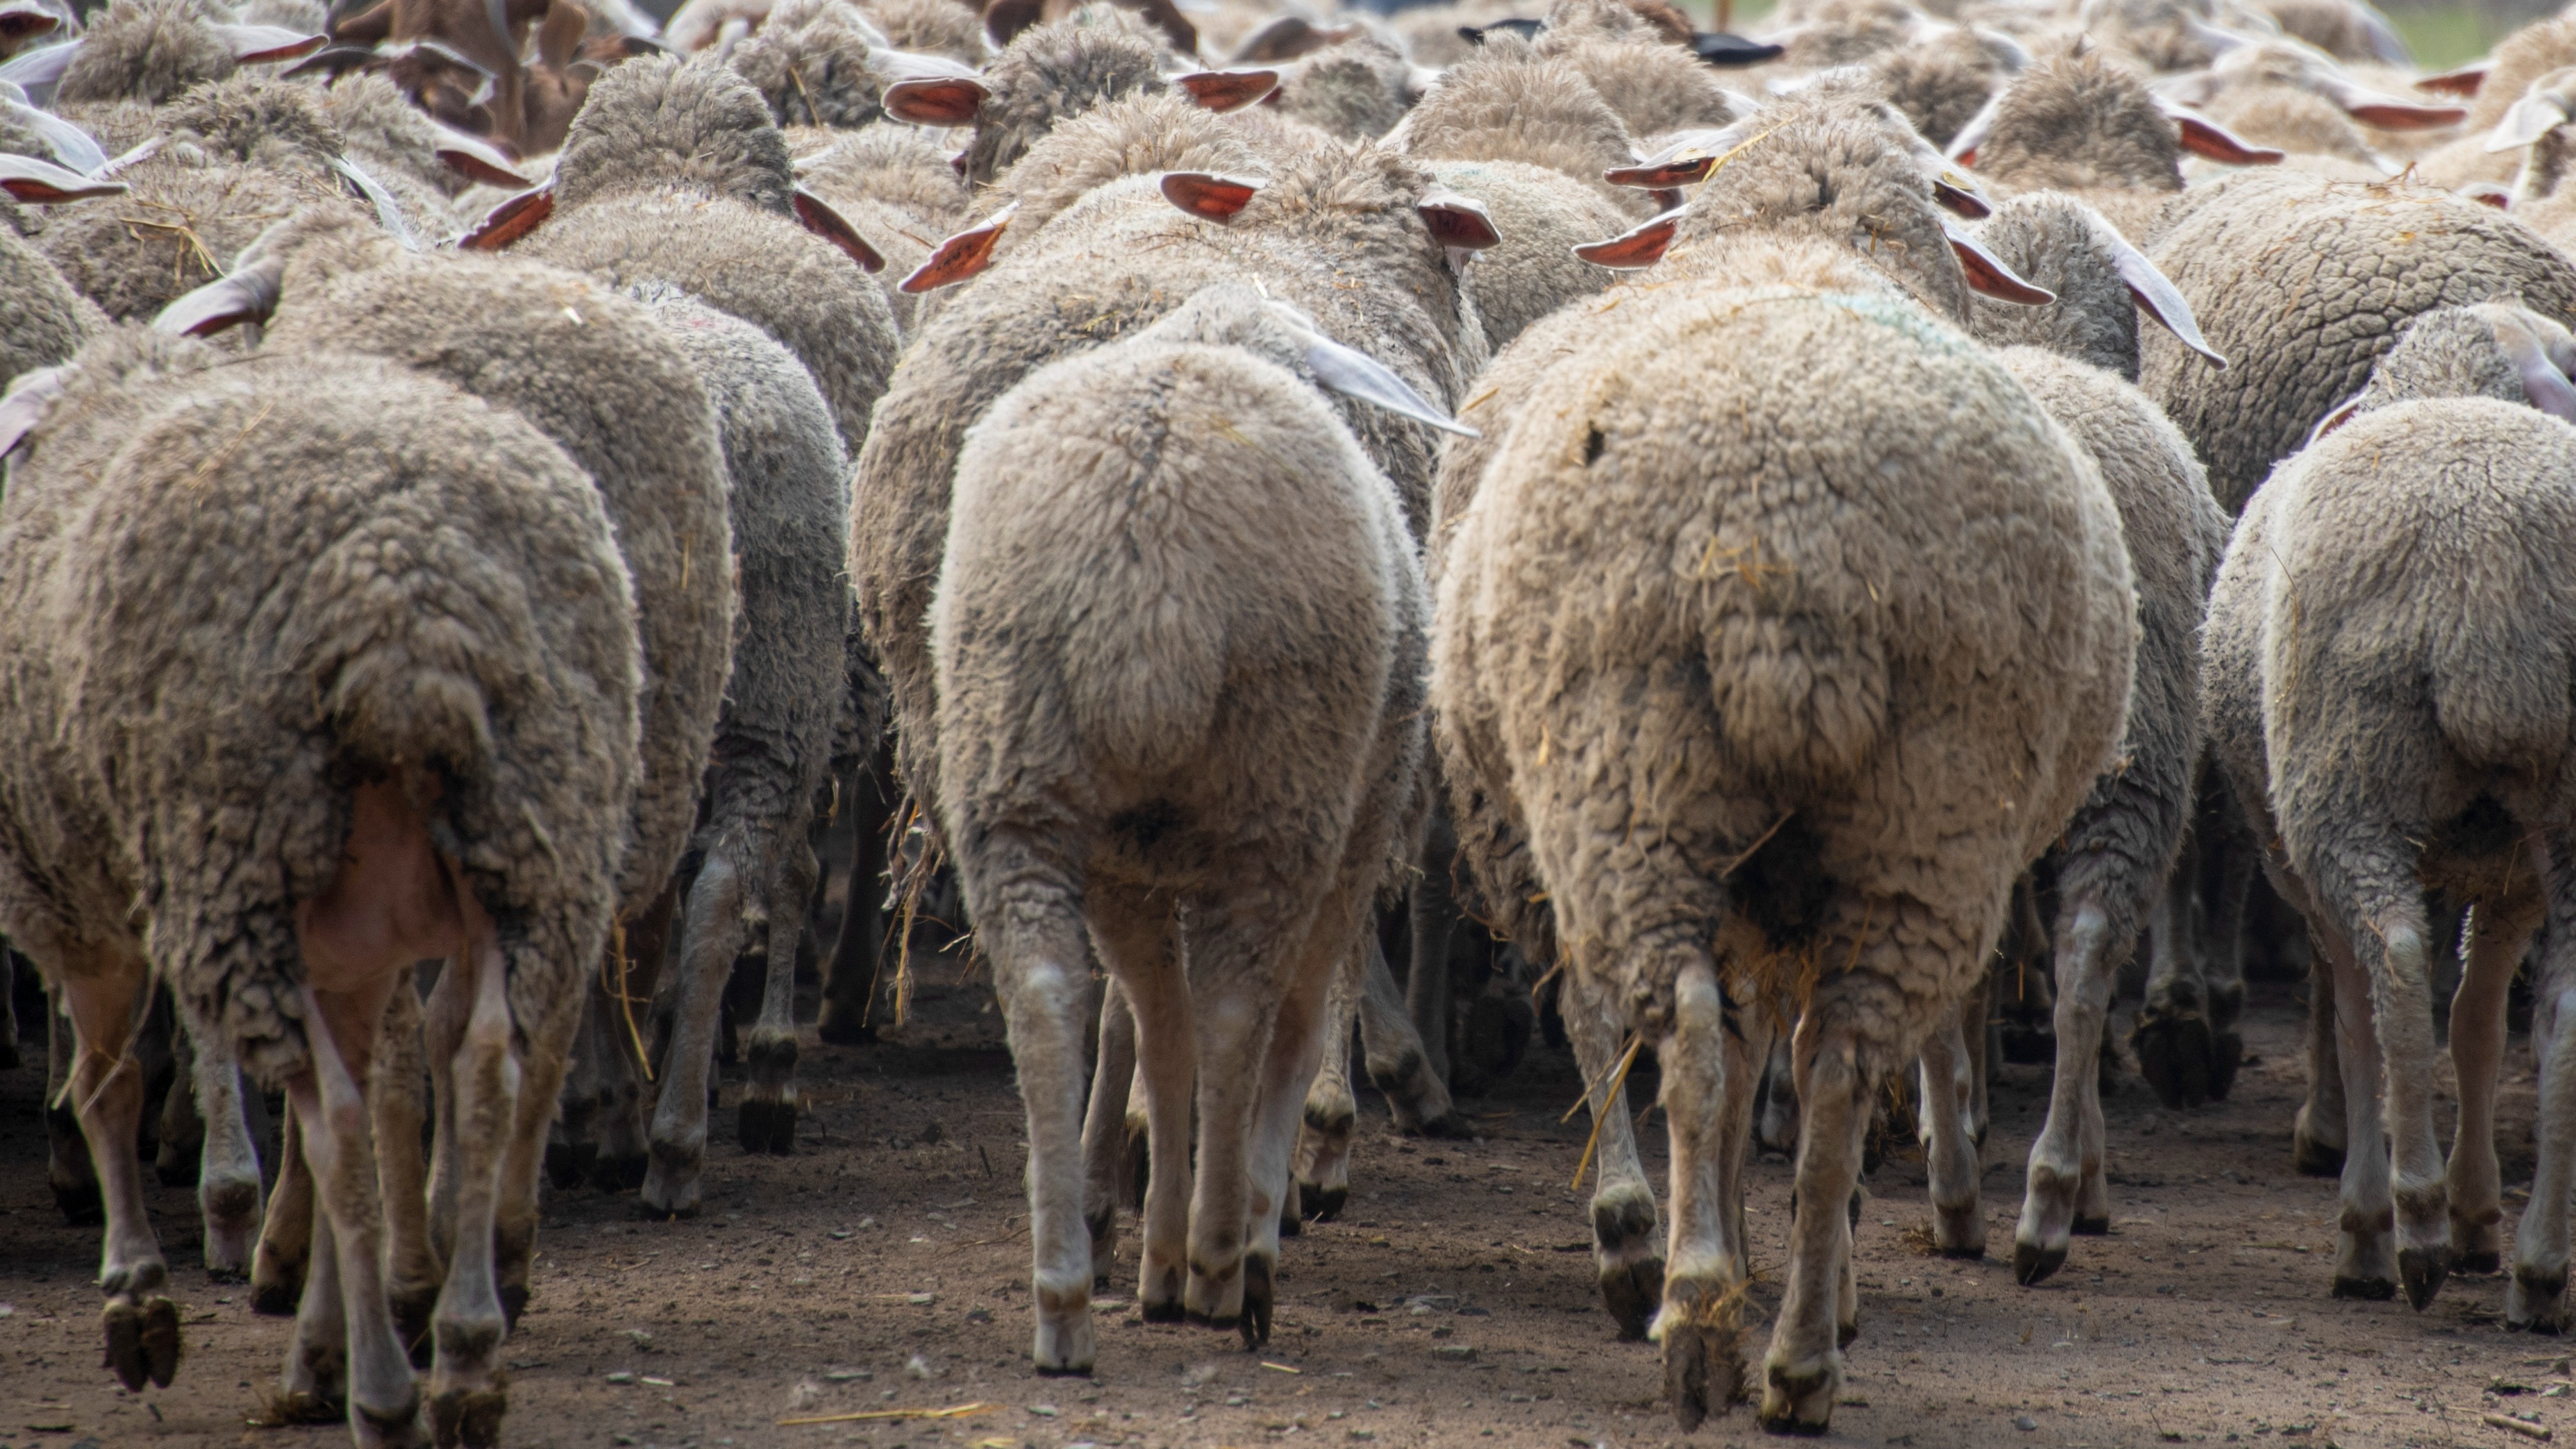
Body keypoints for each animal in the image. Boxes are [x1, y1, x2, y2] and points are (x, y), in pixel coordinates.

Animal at [0, 322, 640, 1443]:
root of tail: (411, 603)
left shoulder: (75, 910)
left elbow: (108, 1092)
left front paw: (140, 1297)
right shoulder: (356, 950)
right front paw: (318, 1341)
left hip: (241, 865)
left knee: (337, 1122)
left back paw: (387, 1393)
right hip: (528, 840)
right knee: (484, 1067)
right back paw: (465, 1357)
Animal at [931, 279, 1435, 1363]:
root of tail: (1145, 565)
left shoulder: (1128, 862)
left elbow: (1148, 1025)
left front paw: (1143, 1236)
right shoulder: (1356, 829)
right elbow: (1290, 1022)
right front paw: (1250, 1219)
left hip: (1018, 765)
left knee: (1054, 992)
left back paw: (1070, 1292)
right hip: (1283, 781)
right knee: (1241, 1008)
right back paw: (1219, 1263)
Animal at [2201, 301, 2576, 1320]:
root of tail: (2488, 570)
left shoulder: (2299, 856)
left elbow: (2358, 1015)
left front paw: (2385, 1220)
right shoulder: (2513, 876)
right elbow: (2479, 1022)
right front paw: (2480, 1215)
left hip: (2342, 781)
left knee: (2394, 970)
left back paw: (2405, 1225)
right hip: (2564, 806)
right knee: (2561, 1008)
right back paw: (2539, 1263)